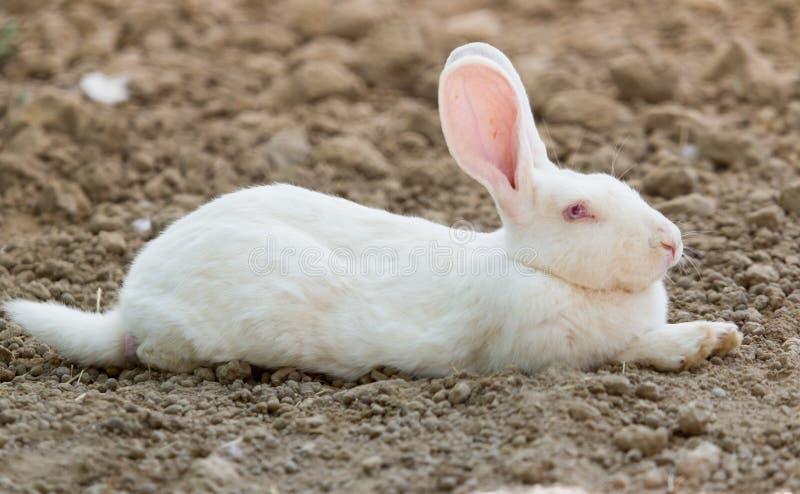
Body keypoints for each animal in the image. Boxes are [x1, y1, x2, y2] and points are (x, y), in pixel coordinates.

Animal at [4, 42, 741, 380]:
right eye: (578, 211)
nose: (672, 242)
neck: (535, 267)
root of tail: (128, 307)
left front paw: (722, 333)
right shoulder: (544, 350)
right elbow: (631, 349)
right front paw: (702, 339)